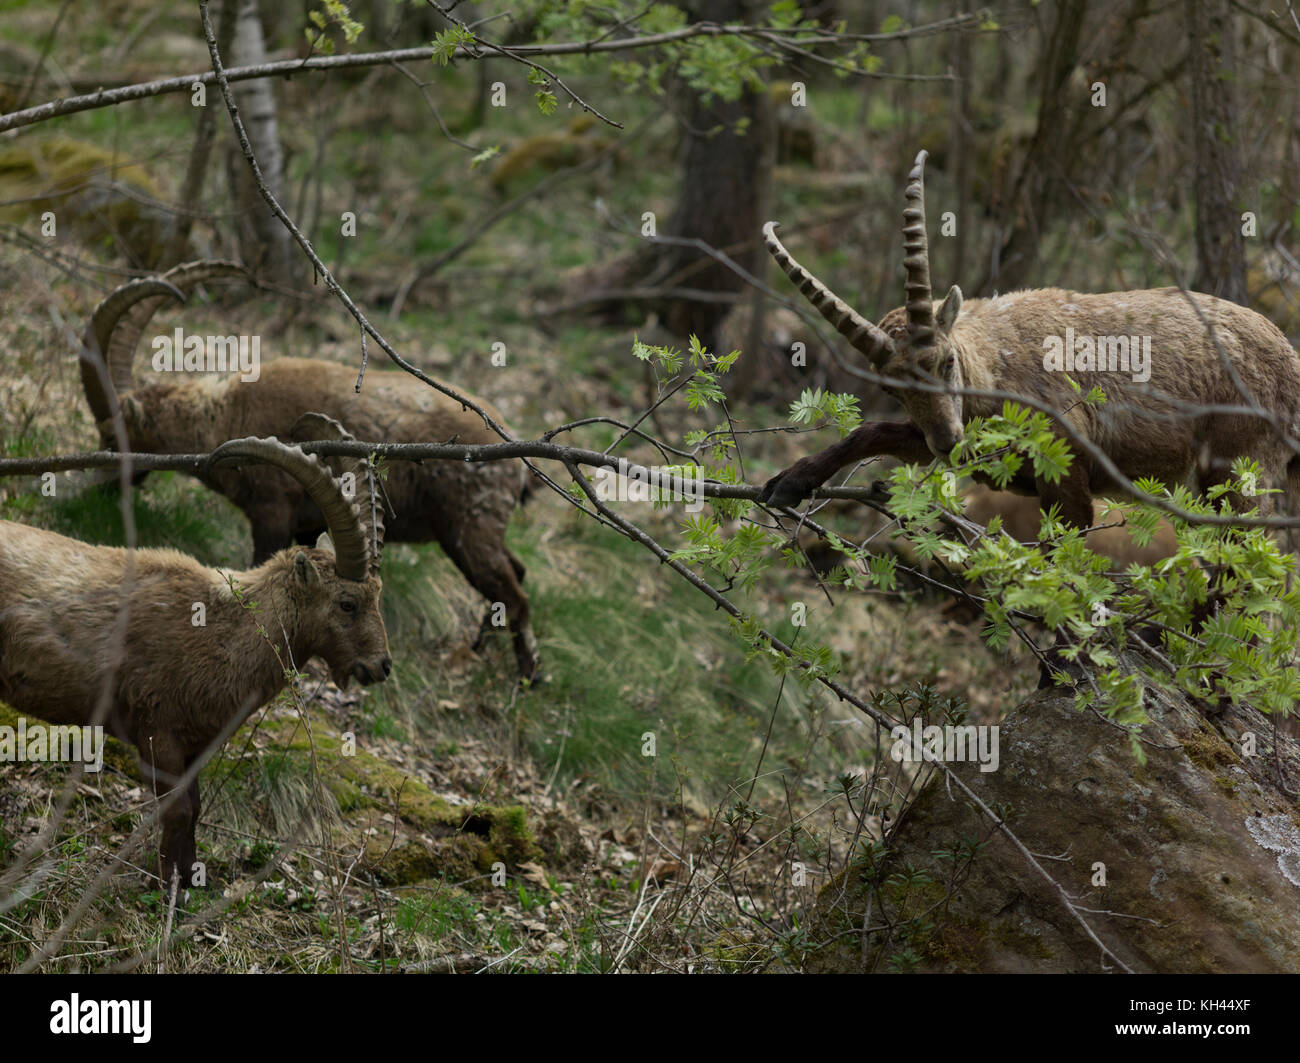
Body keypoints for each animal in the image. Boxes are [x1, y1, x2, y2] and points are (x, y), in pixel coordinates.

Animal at [0, 434, 390, 886]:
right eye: (347, 603)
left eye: (377, 595)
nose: (381, 665)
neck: (224, 631)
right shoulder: (157, 731)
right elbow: (179, 810)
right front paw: (168, 887)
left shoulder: (196, 745)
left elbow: (196, 808)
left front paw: (190, 879)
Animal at [79, 261, 537, 678]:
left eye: (112, 437)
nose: (98, 491)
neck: (226, 414)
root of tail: (515, 457)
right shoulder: (307, 523)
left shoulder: (272, 513)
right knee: (516, 571)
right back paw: (479, 647)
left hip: (468, 529)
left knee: (514, 593)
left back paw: (527, 676)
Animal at [759, 150, 1300, 528]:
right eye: (893, 388)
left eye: (947, 362)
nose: (949, 441)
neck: (995, 371)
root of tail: (1290, 363)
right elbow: (871, 432)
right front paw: (789, 481)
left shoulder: (1066, 469)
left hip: (1239, 470)